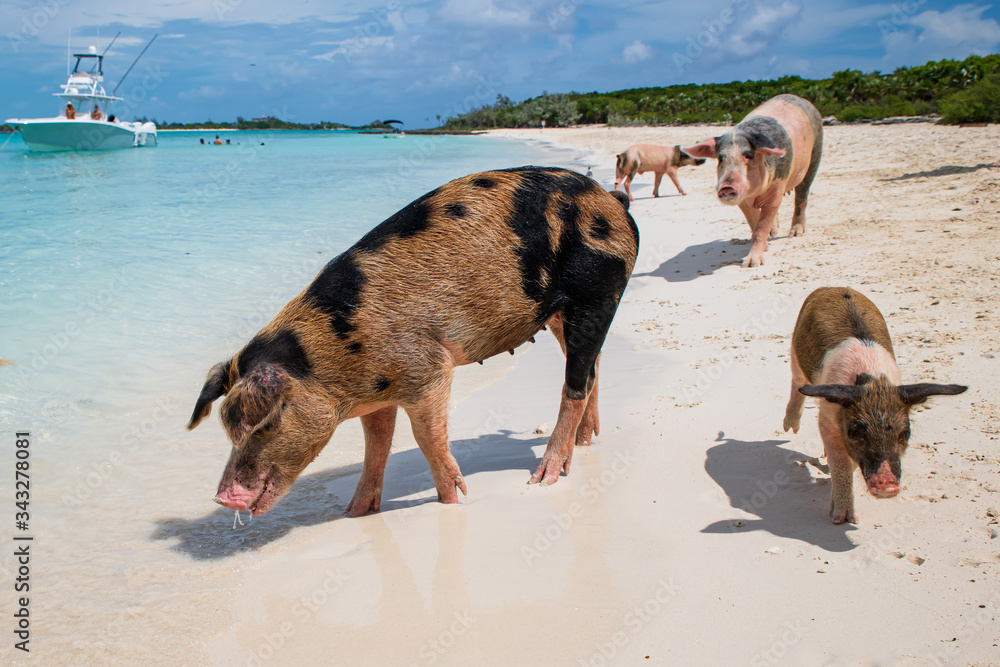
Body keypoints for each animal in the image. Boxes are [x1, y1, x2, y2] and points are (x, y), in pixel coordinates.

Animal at [188, 166, 639, 518]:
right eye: (228, 427)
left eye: (263, 423)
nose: (222, 497)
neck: (334, 360)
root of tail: (612, 200)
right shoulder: (378, 394)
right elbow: (376, 444)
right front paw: (354, 512)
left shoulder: (428, 371)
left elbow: (426, 438)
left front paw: (452, 501)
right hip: (565, 313)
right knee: (592, 368)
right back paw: (585, 441)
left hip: (599, 291)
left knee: (575, 383)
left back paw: (544, 478)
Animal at [682, 94, 823, 268]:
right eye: (720, 158)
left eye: (748, 155)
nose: (727, 186)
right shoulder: (743, 201)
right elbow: (754, 222)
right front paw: (767, 245)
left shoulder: (776, 190)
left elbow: (760, 228)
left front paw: (750, 264)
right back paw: (774, 232)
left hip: (815, 155)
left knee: (802, 196)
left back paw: (795, 234)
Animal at [782, 287, 967, 524]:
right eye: (855, 432)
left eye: (905, 433)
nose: (887, 487)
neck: (873, 380)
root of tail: (835, 288)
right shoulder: (827, 417)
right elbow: (841, 465)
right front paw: (841, 519)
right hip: (795, 351)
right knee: (798, 381)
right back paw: (790, 428)